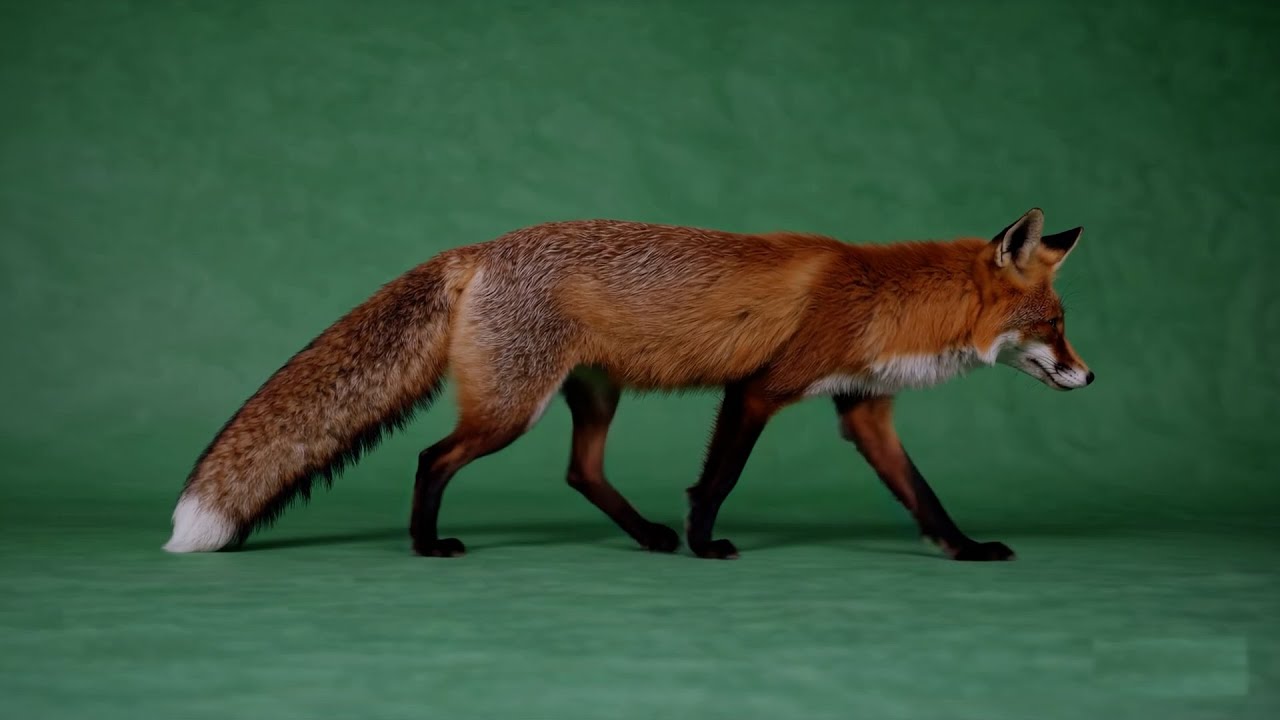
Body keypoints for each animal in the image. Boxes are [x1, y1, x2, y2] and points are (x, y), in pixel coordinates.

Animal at [163, 207, 1093, 561]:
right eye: (1052, 324)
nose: (1089, 374)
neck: (882, 301)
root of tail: (481, 248)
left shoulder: (863, 411)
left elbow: (923, 496)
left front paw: (964, 549)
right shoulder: (760, 389)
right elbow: (719, 478)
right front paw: (705, 543)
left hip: (593, 397)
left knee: (583, 472)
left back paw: (645, 535)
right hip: (511, 409)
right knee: (433, 458)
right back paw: (427, 545)